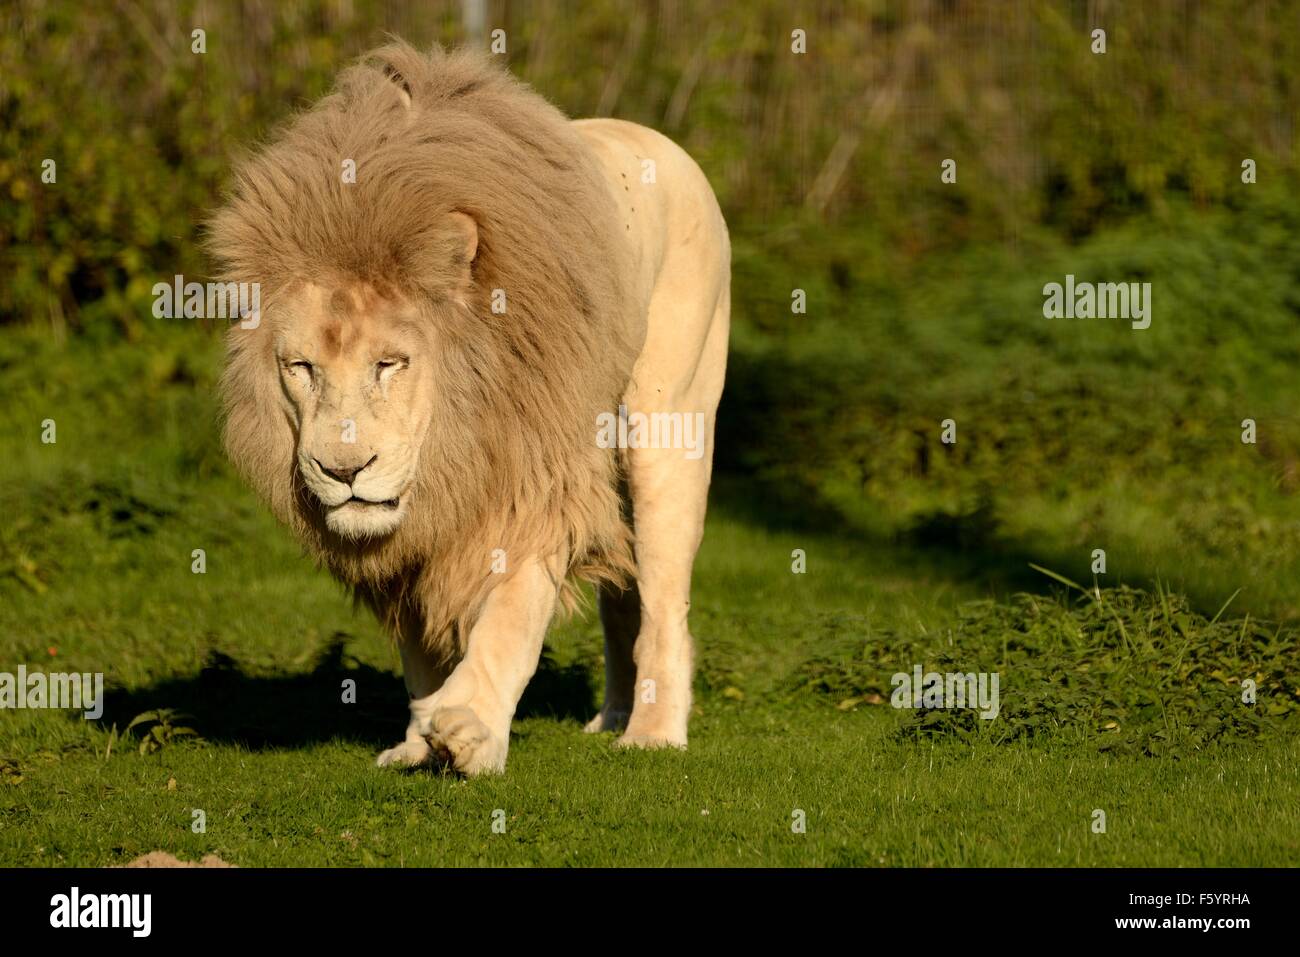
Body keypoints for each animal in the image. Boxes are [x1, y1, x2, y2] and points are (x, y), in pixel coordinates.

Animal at [208, 41, 729, 775]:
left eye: (390, 363)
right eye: (301, 368)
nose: (343, 471)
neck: (458, 434)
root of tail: (663, 142)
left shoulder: (540, 473)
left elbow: (511, 614)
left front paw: (469, 730)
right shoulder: (417, 529)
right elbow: (420, 643)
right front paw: (415, 741)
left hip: (668, 424)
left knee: (662, 598)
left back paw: (652, 731)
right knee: (623, 595)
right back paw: (612, 716)